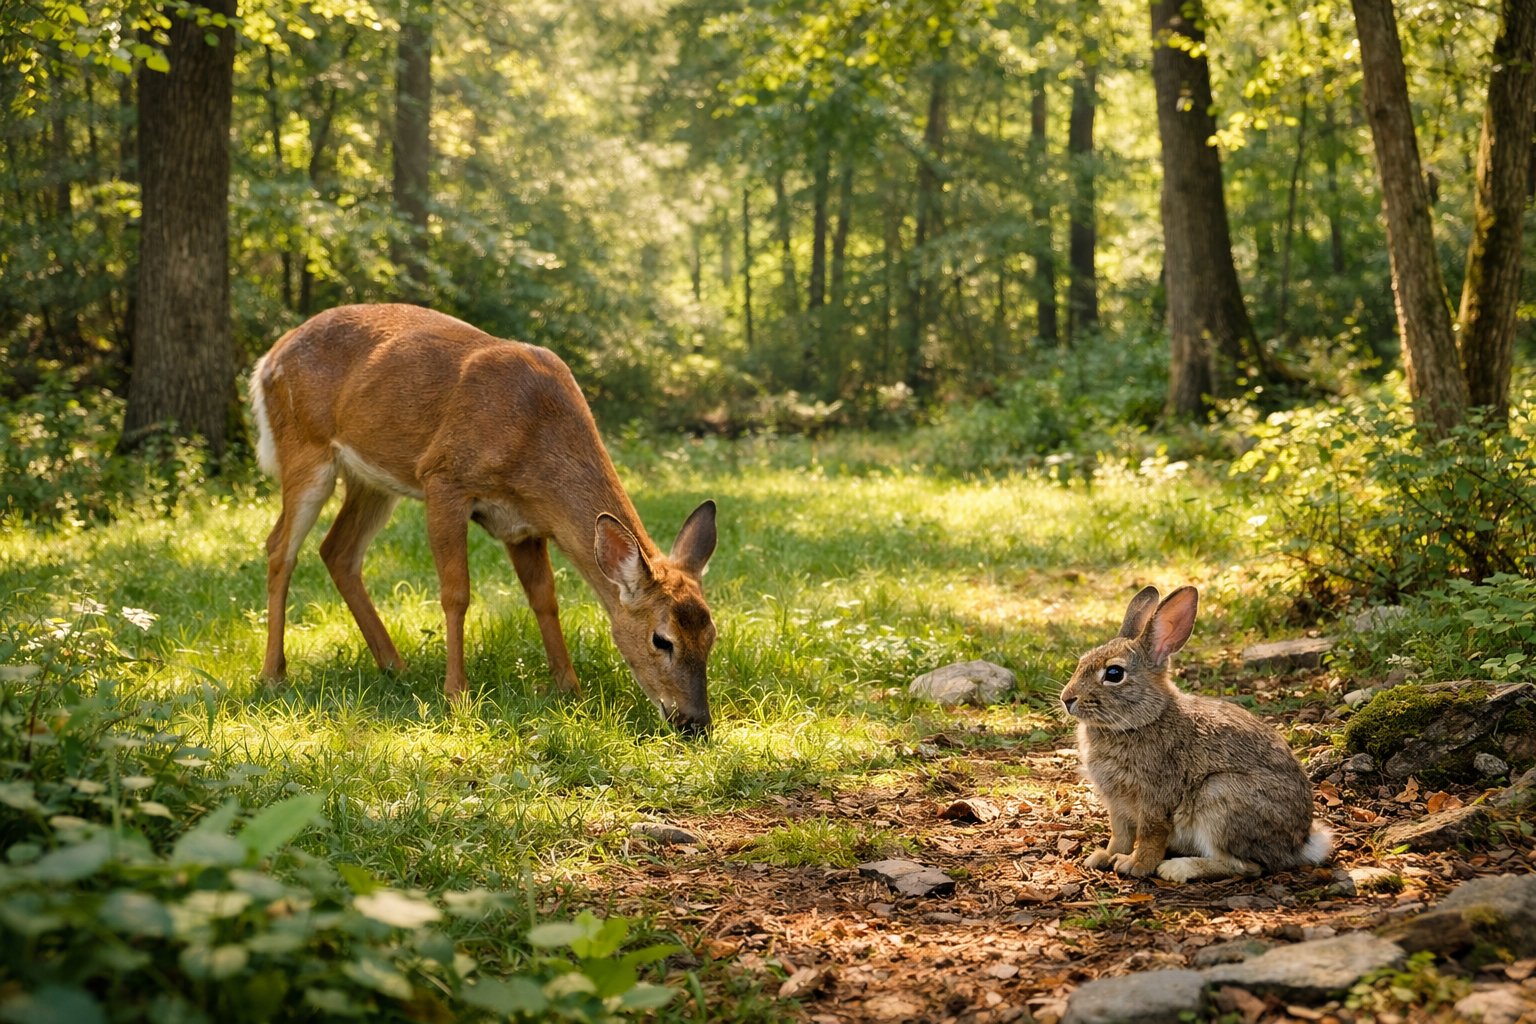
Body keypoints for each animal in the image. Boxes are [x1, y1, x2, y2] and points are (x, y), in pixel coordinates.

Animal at [248, 304, 719, 734]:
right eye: (662, 639)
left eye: (712, 635)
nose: (695, 722)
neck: (535, 441)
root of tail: (268, 358)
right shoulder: (443, 477)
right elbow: (456, 593)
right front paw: (457, 693)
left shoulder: (523, 526)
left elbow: (545, 598)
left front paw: (570, 688)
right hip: (305, 447)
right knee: (279, 547)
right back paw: (273, 673)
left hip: (372, 480)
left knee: (338, 550)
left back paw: (395, 665)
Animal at [1059, 585, 1332, 883]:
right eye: (1082, 661)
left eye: (1114, 673)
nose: (1067, 699)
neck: (1144, 720)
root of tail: (1300, 843)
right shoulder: (1117, 806)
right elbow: (1120, 835)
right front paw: (1103, 857)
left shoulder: (1156, 798)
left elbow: (1150, 835)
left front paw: (1135, 865)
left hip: (1218, 798)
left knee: (1247, 866)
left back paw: (1177, 869)